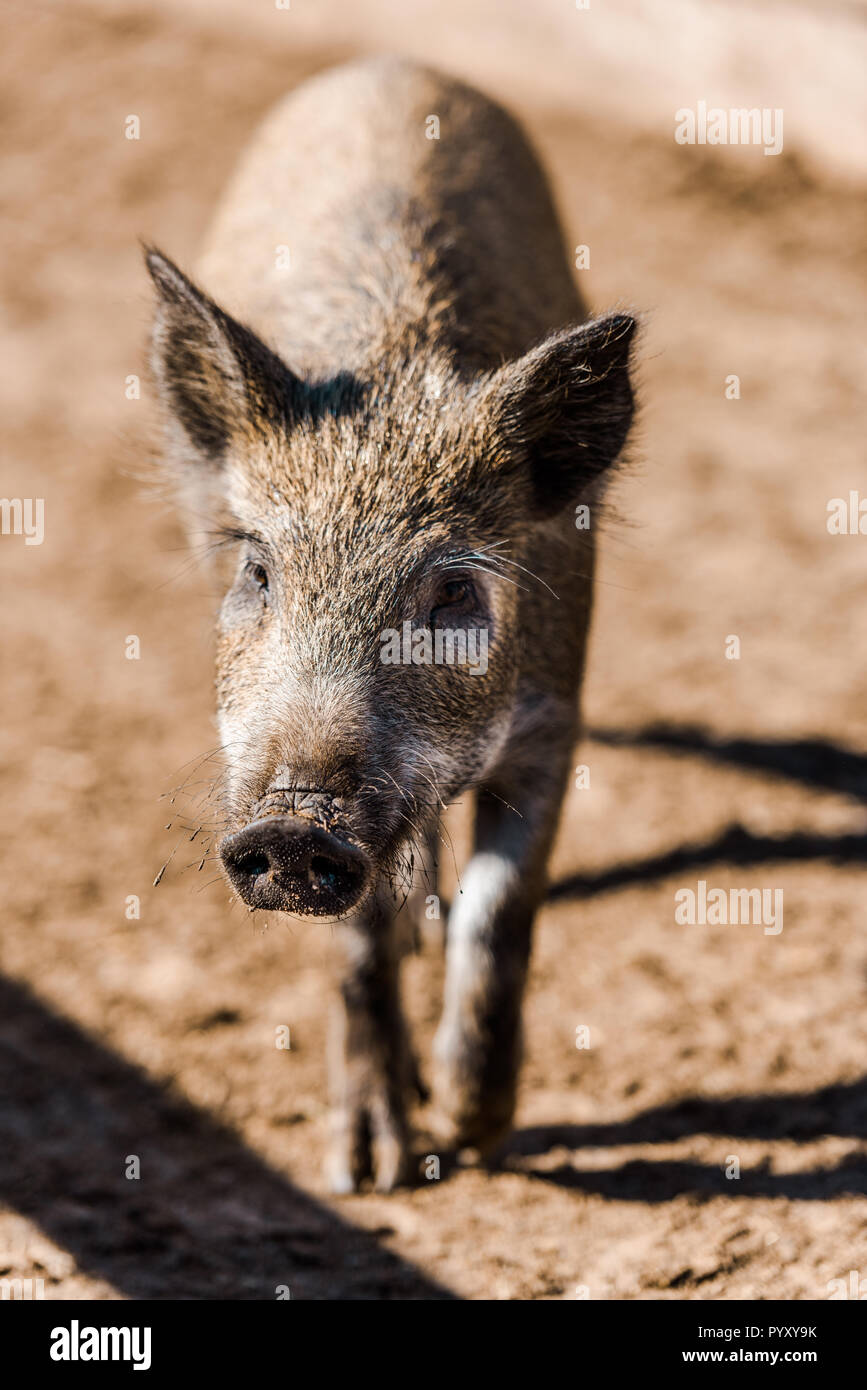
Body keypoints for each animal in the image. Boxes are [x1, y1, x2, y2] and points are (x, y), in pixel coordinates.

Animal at [146, 55, 636, 1192]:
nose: (293, 821)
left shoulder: (555, 722)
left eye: (453, 592)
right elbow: (362, 939)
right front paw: (371, 1171)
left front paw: (473, 1132)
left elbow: (504, 918)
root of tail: (387, 67)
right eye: (258, 569)